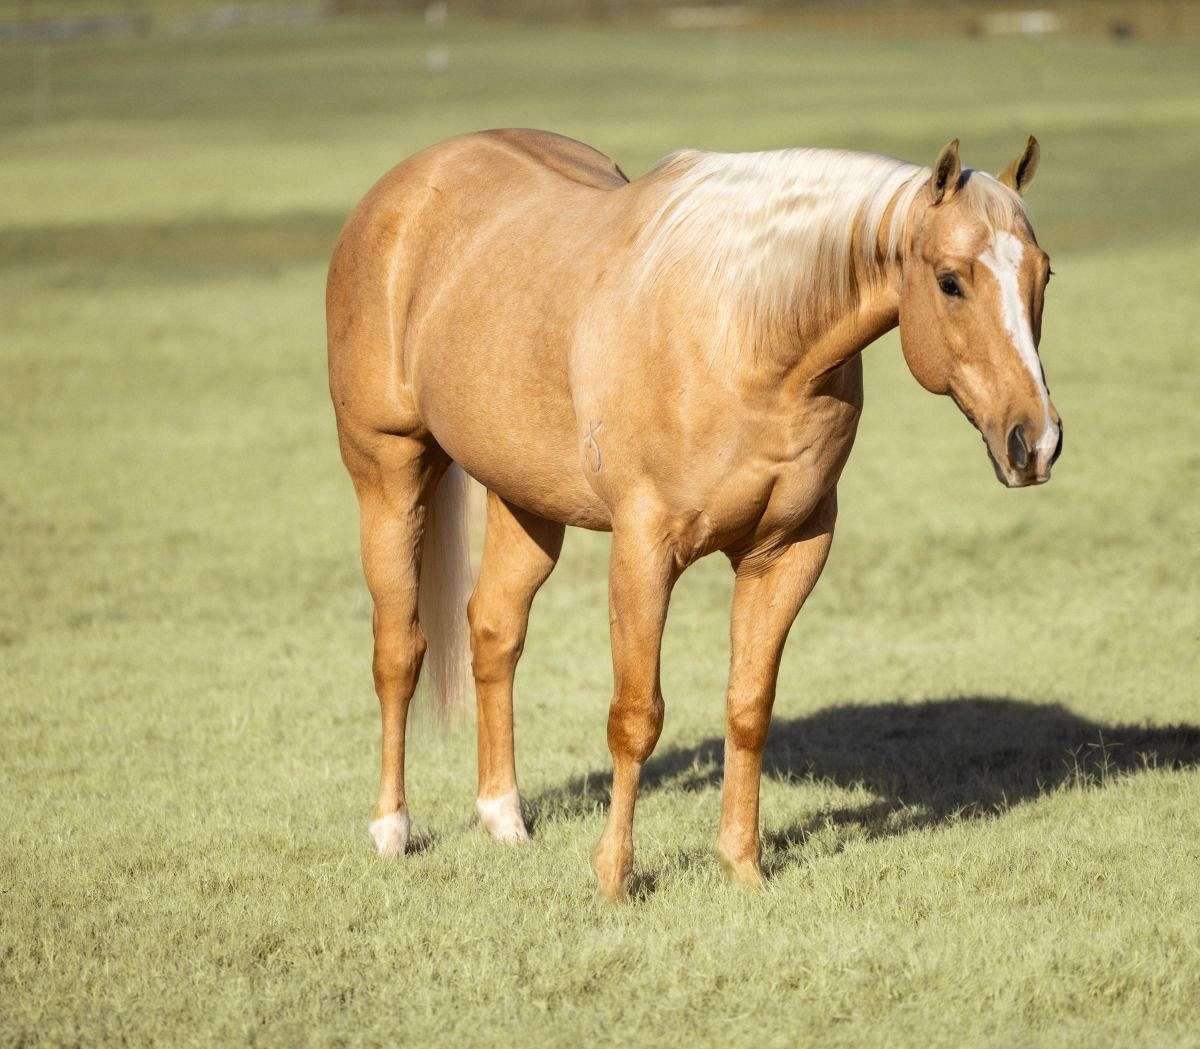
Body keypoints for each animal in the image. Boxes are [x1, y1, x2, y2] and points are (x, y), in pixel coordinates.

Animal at [326, 128, 1062, 901]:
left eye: (1044, 275)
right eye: (951, 280)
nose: (1036, 443)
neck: (744, 333)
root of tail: (411, 181)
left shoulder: (788, 551)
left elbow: (749, 707)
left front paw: (742, 866)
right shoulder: (644, 549)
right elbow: (635, 716)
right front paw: (615, 877)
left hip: (524, 498)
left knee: (494, 631)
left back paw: (504, 818)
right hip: (388, 474)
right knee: (399, 650)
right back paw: (392, 830)